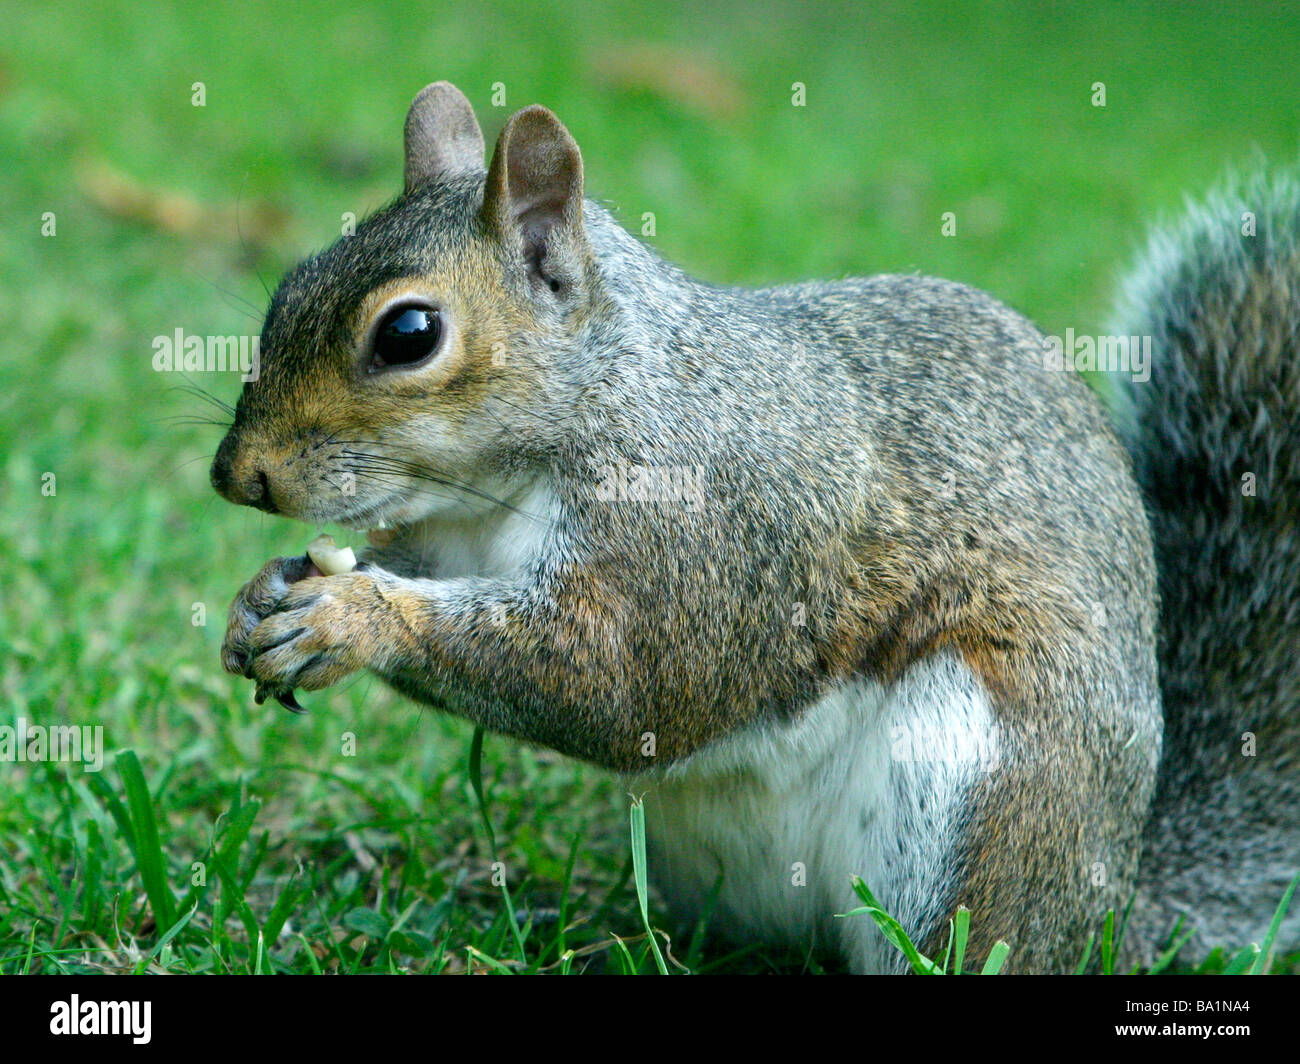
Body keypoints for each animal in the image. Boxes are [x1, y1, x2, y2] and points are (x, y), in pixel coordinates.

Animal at [210, 81, 1300, 973]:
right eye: (288, 284)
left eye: (409, 334)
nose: (237, 475)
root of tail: (1110, 905)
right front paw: (263, 598)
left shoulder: (715, 532)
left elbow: (619, 676)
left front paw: (352, 616)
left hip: (979, 801)